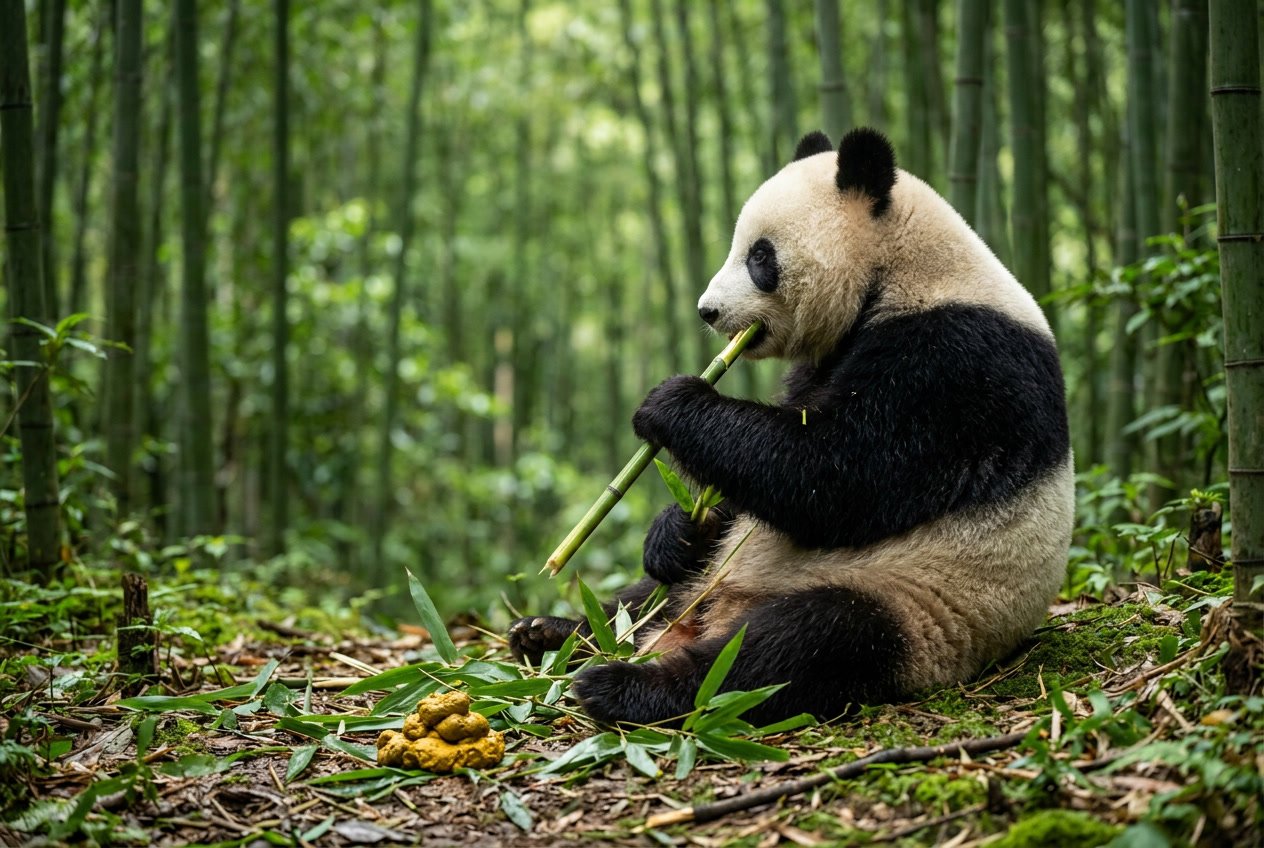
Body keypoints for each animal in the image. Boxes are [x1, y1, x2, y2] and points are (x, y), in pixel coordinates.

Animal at [509, 127, 1074, 726]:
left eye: (760, 256)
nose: (708, 311)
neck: (902, 268)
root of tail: (705, 618)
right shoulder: (824, 364)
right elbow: (747, 488)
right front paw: (676, 529)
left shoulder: (954, 363)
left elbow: (835, 477)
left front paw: (670, 403)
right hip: (707, 587)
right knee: (643, 597)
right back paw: (552, 633)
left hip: (916, 604)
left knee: (799, 644)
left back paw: (627, 686)